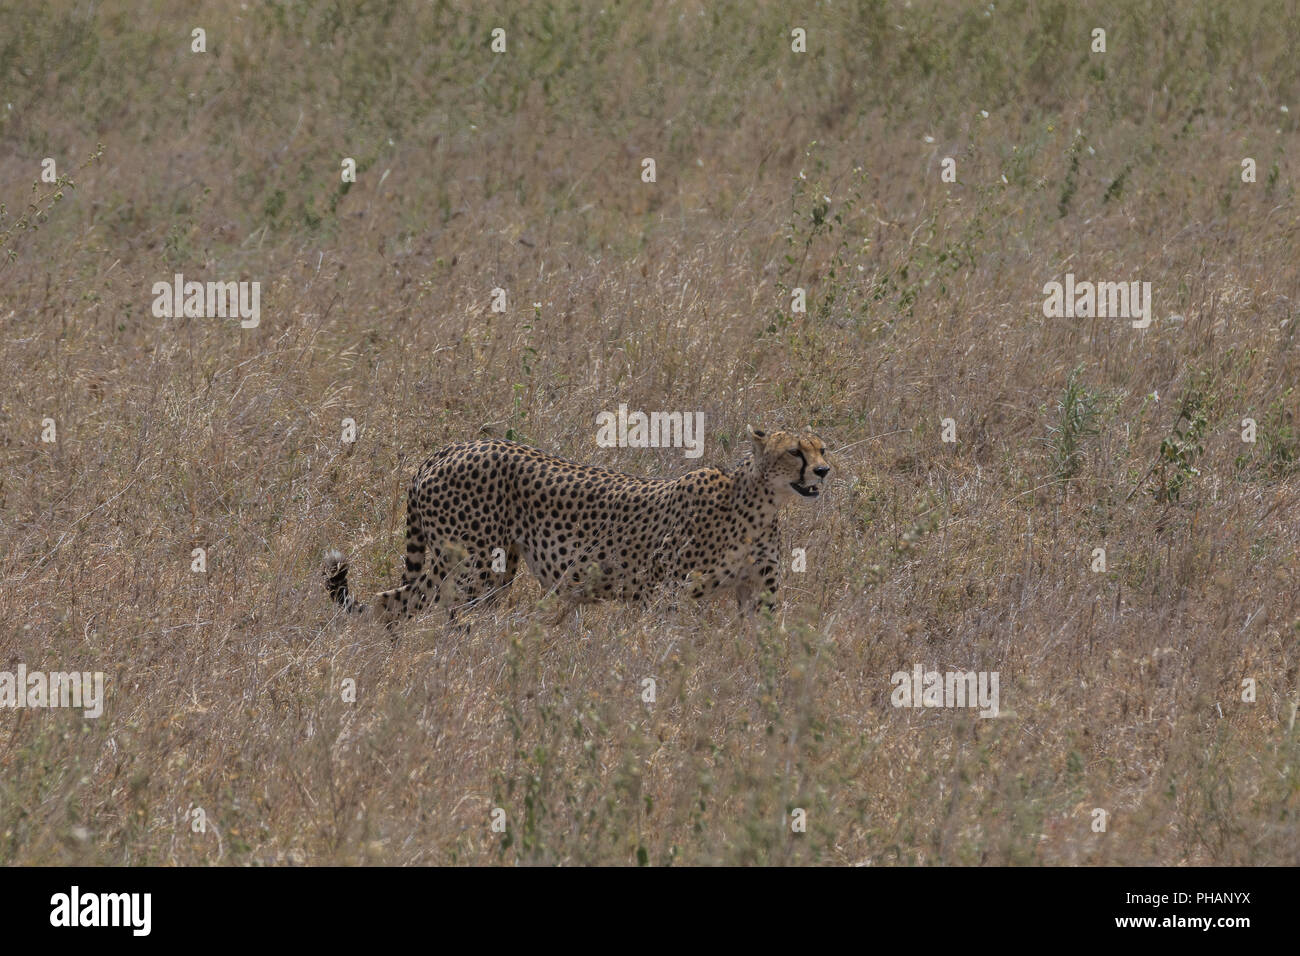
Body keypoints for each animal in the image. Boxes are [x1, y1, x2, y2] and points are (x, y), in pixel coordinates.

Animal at [323, 425, 830, 625]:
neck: (759, 503)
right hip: (478, 563)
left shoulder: (758, 591)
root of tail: (447, 449)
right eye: (795, 452)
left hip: (488, 565)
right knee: (448, 609)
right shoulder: (663, 588)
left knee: (394, 602)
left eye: (821, 448)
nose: (824, 471)